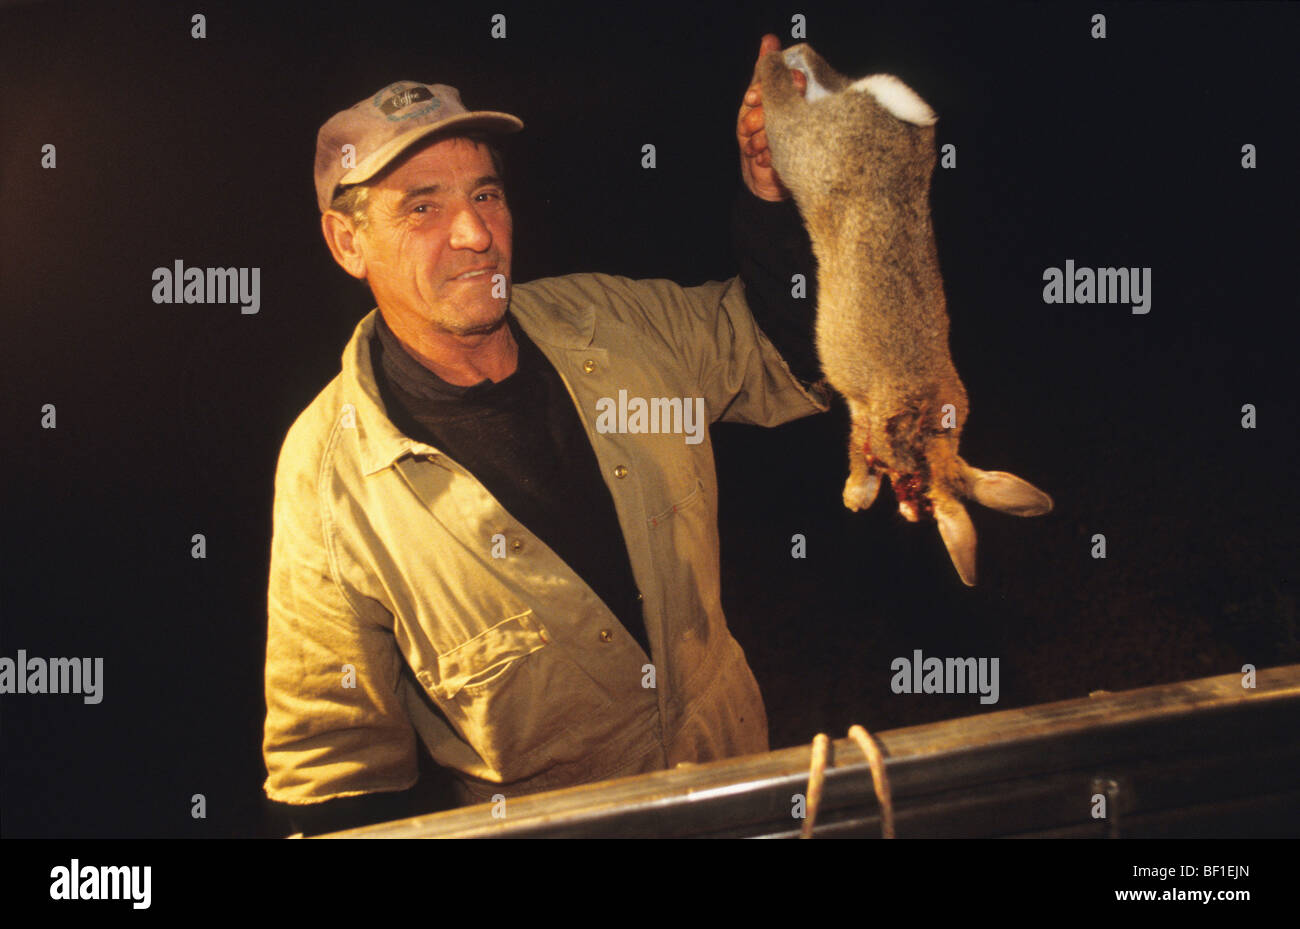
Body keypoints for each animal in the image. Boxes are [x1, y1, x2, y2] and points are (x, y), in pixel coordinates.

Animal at [757, 43, 1052, 586]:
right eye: (918, 492)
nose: (910, 511)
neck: (931, 439)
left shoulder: (866, 414)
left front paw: (858, 496)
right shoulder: (873, 424)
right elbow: (860, 455)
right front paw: (857, 494)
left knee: (816, 70)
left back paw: (798, 58)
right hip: (793, 148)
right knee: (776, 89)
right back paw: (773, 57)